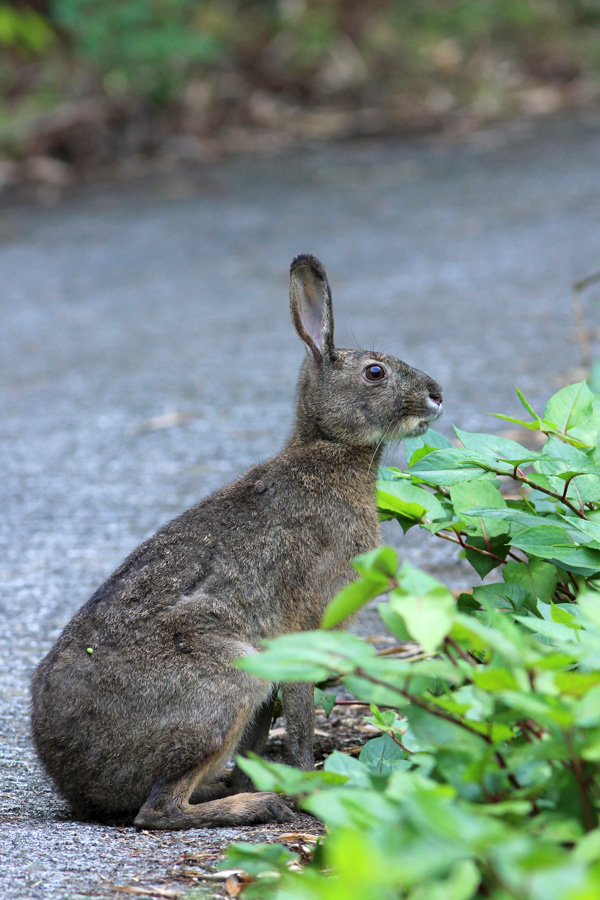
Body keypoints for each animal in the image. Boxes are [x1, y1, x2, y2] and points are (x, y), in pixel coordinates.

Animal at [31, 254, 443, 830]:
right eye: (375, 372)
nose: (437, 394)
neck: (327, 449)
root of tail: (75, 785)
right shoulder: (303, 626)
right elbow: (300, 718)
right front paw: (307, 788)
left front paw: (274, 780)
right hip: (227, 680)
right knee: (157, 811)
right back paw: (255, 805)